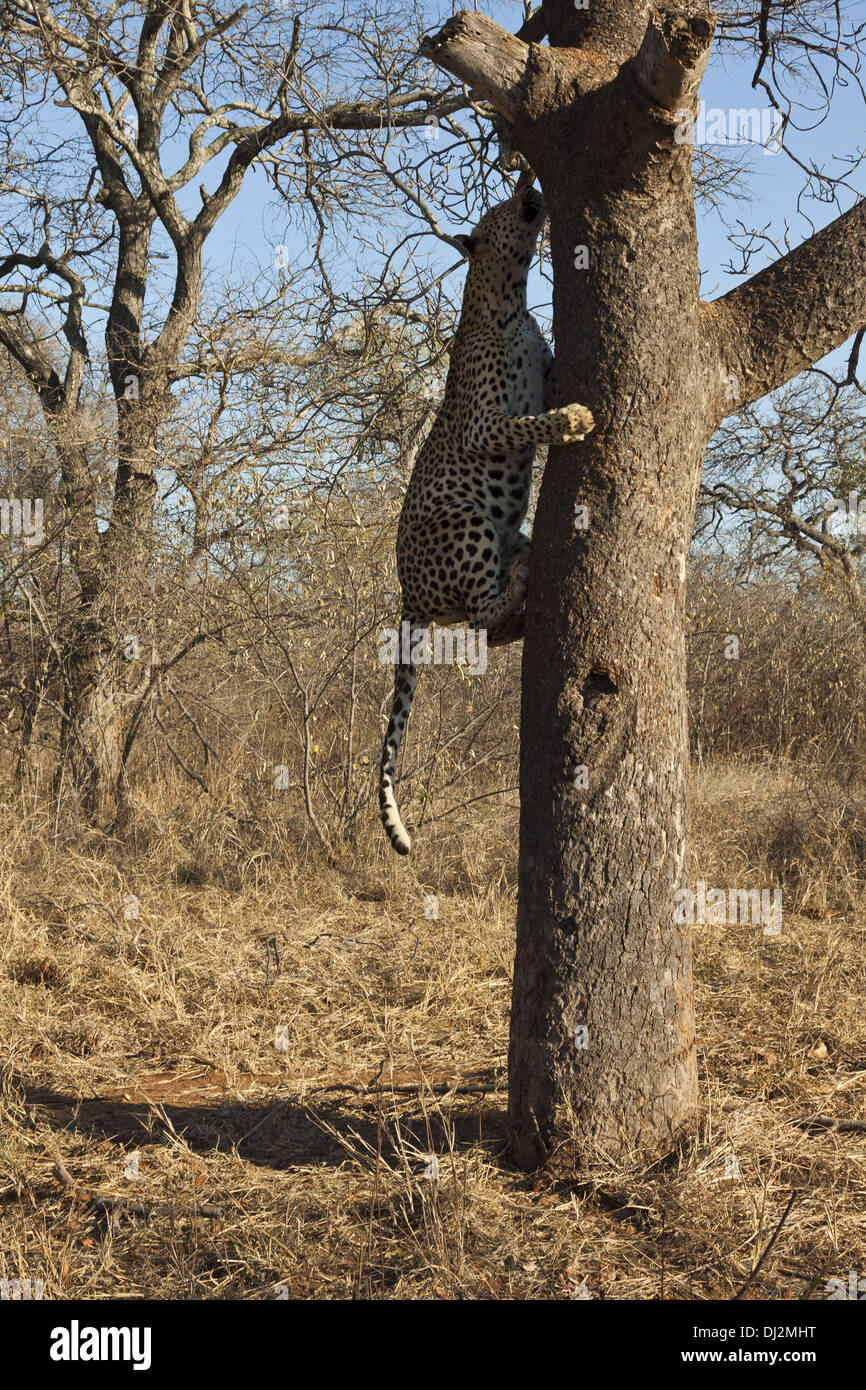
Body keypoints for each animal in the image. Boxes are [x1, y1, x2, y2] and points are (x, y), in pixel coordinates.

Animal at [379, 183, 595, 855]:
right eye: (500, 207)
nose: (528, 185)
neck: (510, 301)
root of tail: (407, 593)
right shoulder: (486, 426)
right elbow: (531, 423)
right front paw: (575, 419)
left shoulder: (541, 375)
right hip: (466, 519)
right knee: (476, 614)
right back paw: (520, 587)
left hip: (508, 532)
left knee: (489, 623)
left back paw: (525, 590)